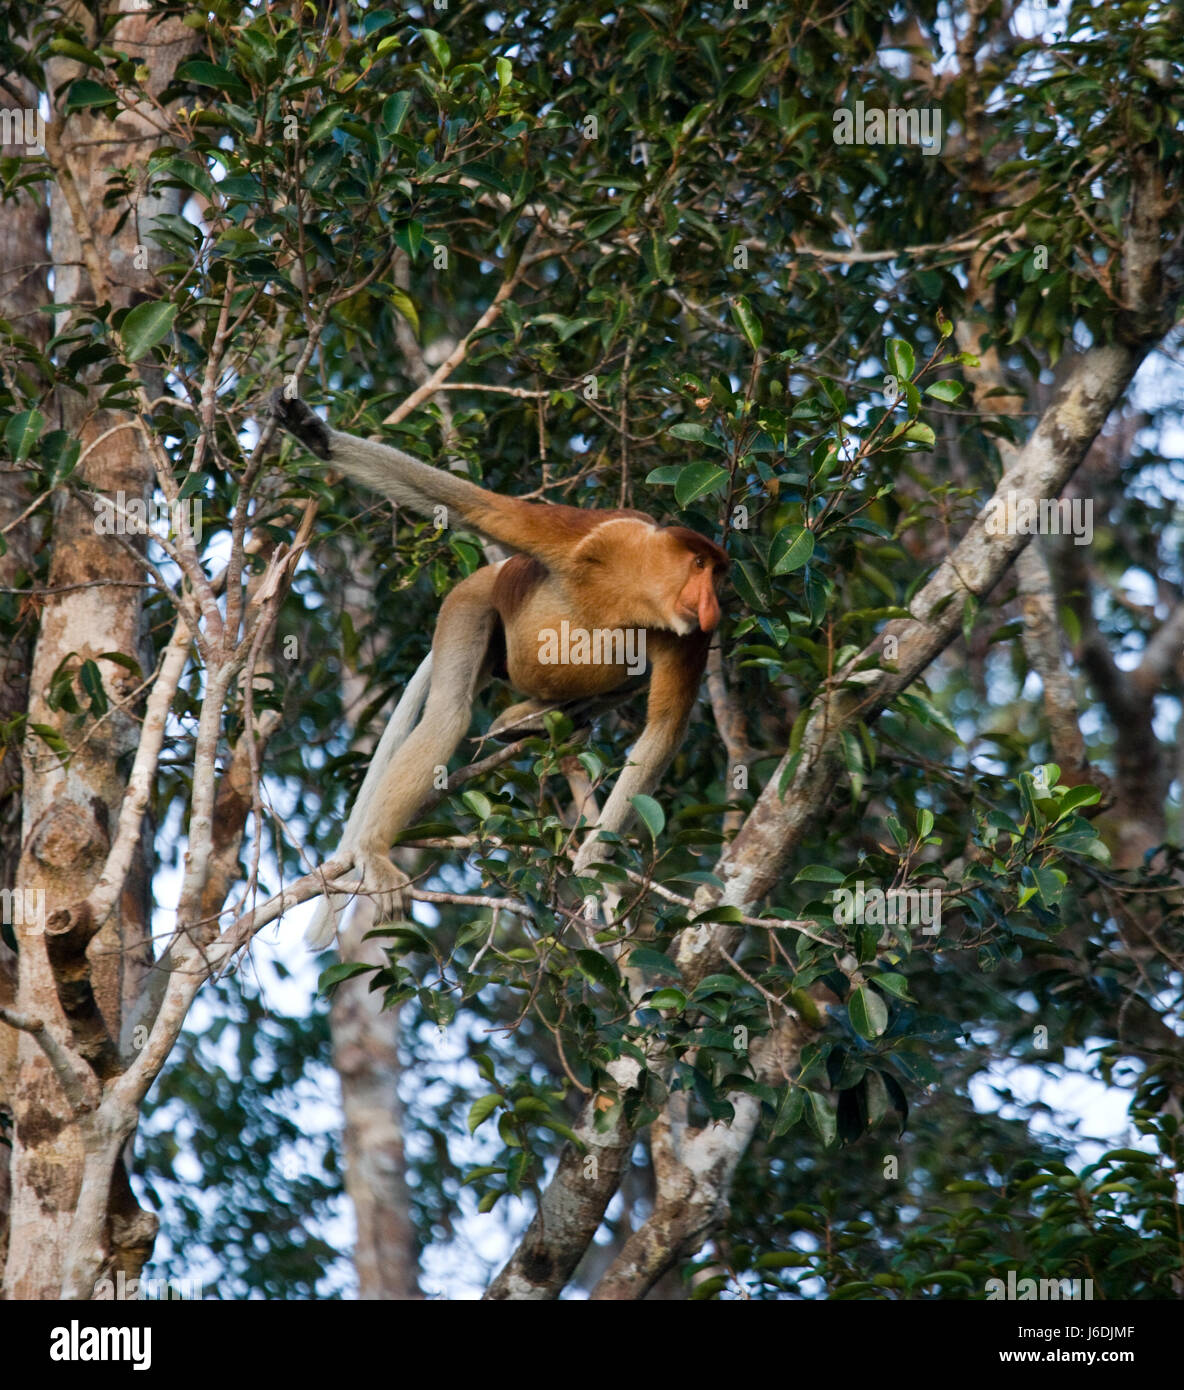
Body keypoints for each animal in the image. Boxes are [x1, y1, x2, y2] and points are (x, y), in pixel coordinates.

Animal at [270, 391, 728, 948]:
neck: (636, 592)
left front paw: (594, 864)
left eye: (717, 573)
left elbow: (664, 727)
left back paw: (536, 718)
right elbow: (485, 509)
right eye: (701, 566)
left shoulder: (690, 636)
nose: (714, 604)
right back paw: (377, 853)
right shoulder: (594, 537)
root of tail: (489, 574)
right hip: (471, 603)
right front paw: (316, 436)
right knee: (448, 714)